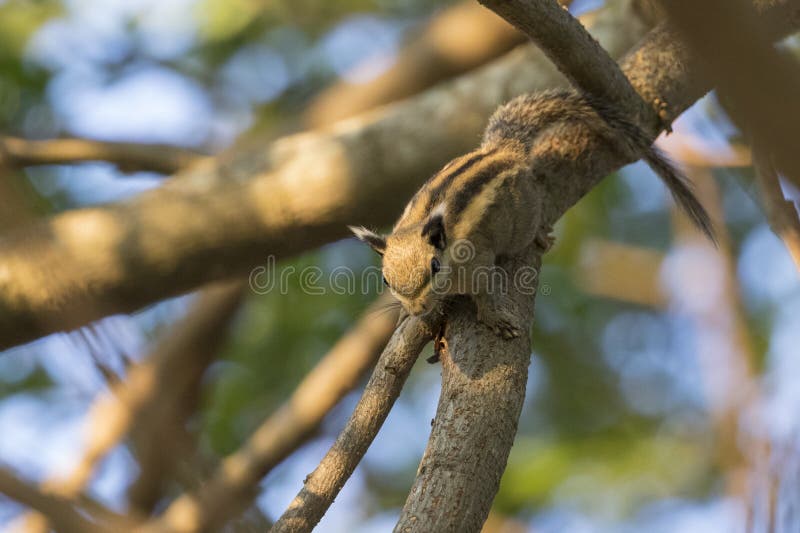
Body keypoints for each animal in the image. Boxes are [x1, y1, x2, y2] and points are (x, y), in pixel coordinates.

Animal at [350, 89, 715, 339]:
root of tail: (505, 149)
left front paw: (495, 320)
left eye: (434, 267)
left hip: (521, 219)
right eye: (385, 280)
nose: (416, 308)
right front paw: (413, 316)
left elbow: (485, 294)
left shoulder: (478, 262)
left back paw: (538, 233)